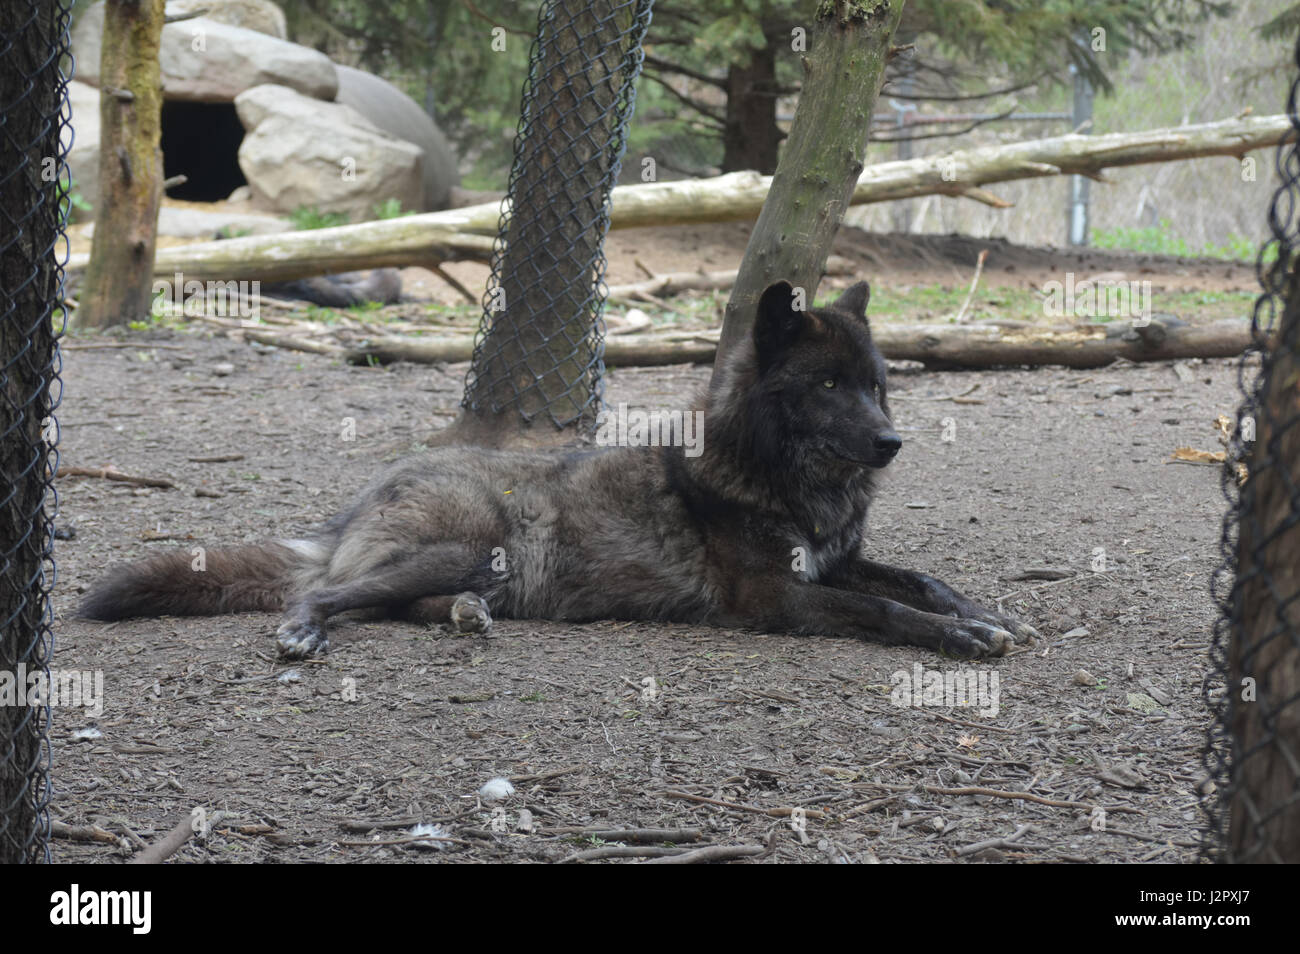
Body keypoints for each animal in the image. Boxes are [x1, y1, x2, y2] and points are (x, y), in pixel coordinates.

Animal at [80, 281, 1037, 659]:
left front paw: (988, 615)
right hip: (471, 547)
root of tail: (356, 503)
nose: (891, 443)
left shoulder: (836, 561)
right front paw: (960, 639)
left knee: (392, 605)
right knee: (323, 595)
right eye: (828, 386)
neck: (784, 480)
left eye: (877, 386)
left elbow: (920, 577)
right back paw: (306, 631)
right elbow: (882, 608)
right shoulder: (777, 597)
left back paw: (461, 617)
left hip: (485, 569)